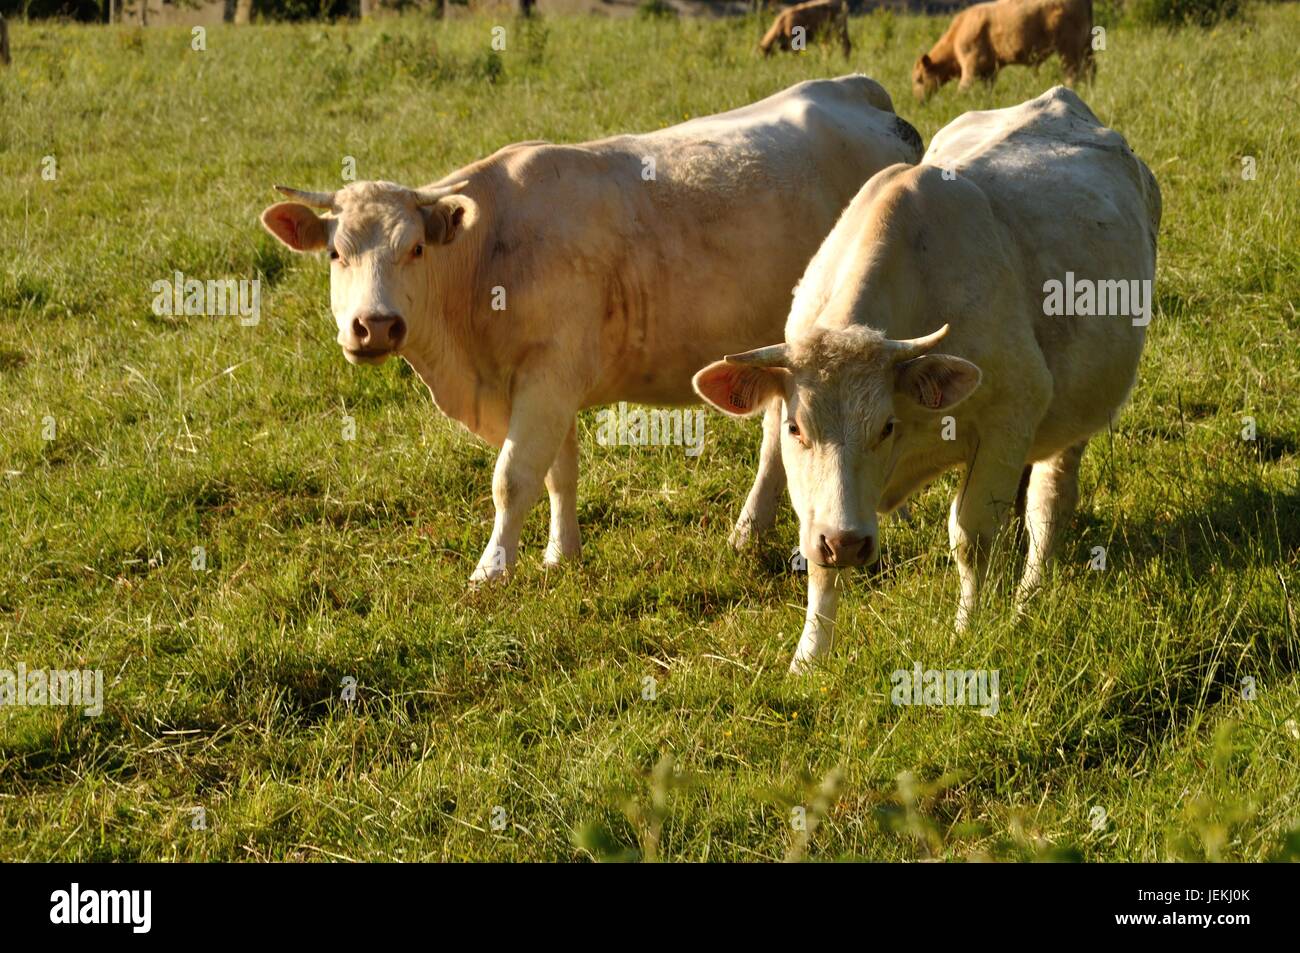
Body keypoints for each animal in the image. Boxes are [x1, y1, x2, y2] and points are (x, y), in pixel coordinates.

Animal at [259, 76, 923, 585]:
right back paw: (747, 532)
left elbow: (512, 478)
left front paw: (491, 571)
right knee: (775, 437)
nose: (374, 326)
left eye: (416, 248)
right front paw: (561, 554)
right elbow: (559, 471)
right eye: (336, 254)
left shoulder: (547, 377)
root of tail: (854, 90)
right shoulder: (551, 385)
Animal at [694, 87, 1161, 672]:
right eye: (795, 429)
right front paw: (810, 657)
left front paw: (968, 627)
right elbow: (817, 558)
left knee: (1048, 503)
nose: (847, 543)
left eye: (886, 426)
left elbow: (971, 536)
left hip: (1074, 414)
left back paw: (1027, 599)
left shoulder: (1010, 416)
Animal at [911, 0, 1095, 101]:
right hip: (1086, 46)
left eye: (919, 79)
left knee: (1072, 73)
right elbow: (988, 90)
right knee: (1090, 70)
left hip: (1069, 48)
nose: (919, 102)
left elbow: (963, 89)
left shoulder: (970, 65)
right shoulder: (990, 70)